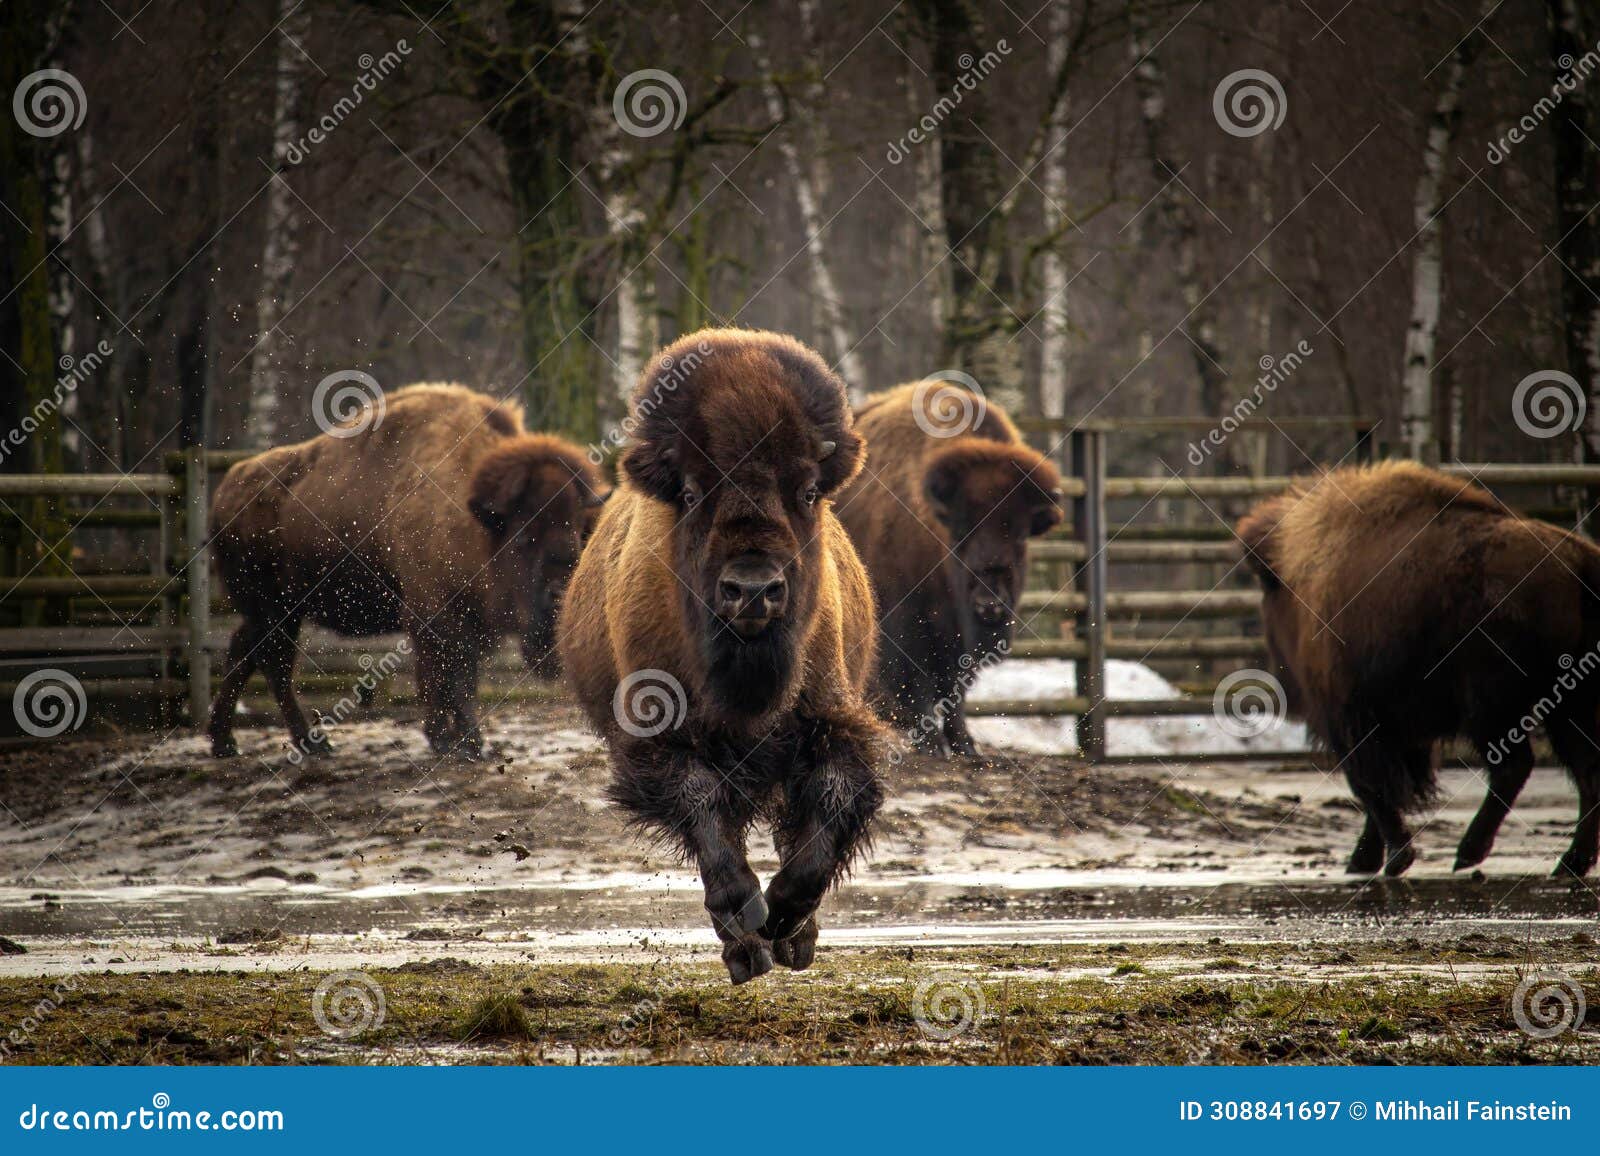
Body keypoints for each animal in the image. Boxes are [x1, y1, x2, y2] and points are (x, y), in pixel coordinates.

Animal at [208, 383, 605, 761]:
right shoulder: (437, 618)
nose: (559, 593)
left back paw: (226, 743)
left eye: (576, 529)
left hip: (272, 611)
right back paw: (311, 744)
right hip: (275, 611)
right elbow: (449, 678)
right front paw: (463, 743)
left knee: (243, 654)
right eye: (523, 534)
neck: (473, 517)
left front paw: (458, 741)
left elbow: (454, 679)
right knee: (271, 664)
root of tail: (226, 489)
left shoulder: (464, 621)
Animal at [558, 329, 887, 984]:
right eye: (688, 492)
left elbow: (829, 809)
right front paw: (749, 922)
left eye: (808, 489)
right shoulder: (661, 741)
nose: (753, 589)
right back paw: (747, 951)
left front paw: (783, 917)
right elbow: (705, 814)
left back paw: (792, 943)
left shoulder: (832, 721)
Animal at [836, 381, 1063, 755]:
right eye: (962, 529)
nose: (989, 601)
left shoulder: (959, 639)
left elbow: (956, 687)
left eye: (1020, 534)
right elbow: (919, 682)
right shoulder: (909, 623)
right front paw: (930, 742)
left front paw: (964, 743)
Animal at [1238, 460, 1600, 877]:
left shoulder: (1352, 721)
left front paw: (1392, 858)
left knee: (1515, 767)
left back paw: (1469, 853)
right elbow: (1387, 788)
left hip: (1494, 708)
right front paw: (1366, 860)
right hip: (1568, 704)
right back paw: (1569, 863)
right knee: (1586, 769)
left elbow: (1371, 788)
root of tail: (1579, 561)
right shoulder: (1396, 727)